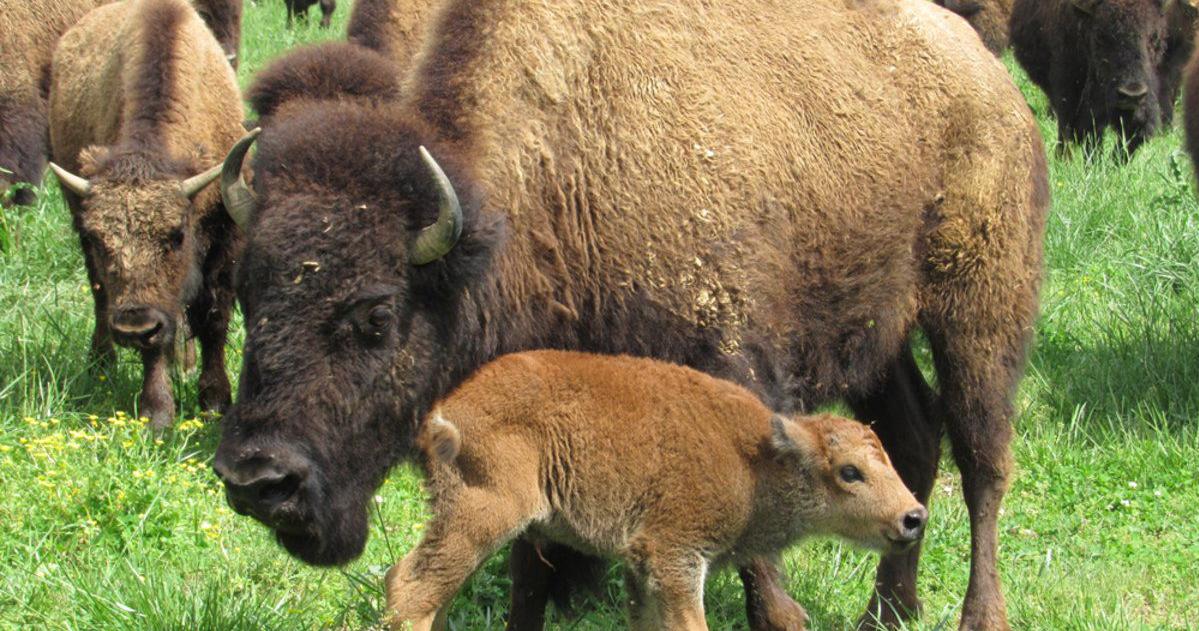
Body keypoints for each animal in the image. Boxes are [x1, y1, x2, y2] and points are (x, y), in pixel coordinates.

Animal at [213, 1, 1047, 630]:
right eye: (249, 296)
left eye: (377, 316)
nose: (257, 479)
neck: (561, 173)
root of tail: (986, 77)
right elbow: (533, 562)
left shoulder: (737, 366)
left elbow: (759, 563)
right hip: (880, 331)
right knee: (913, 435)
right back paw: (889, 609)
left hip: (977, 310)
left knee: (981, 460)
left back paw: (979, 614)